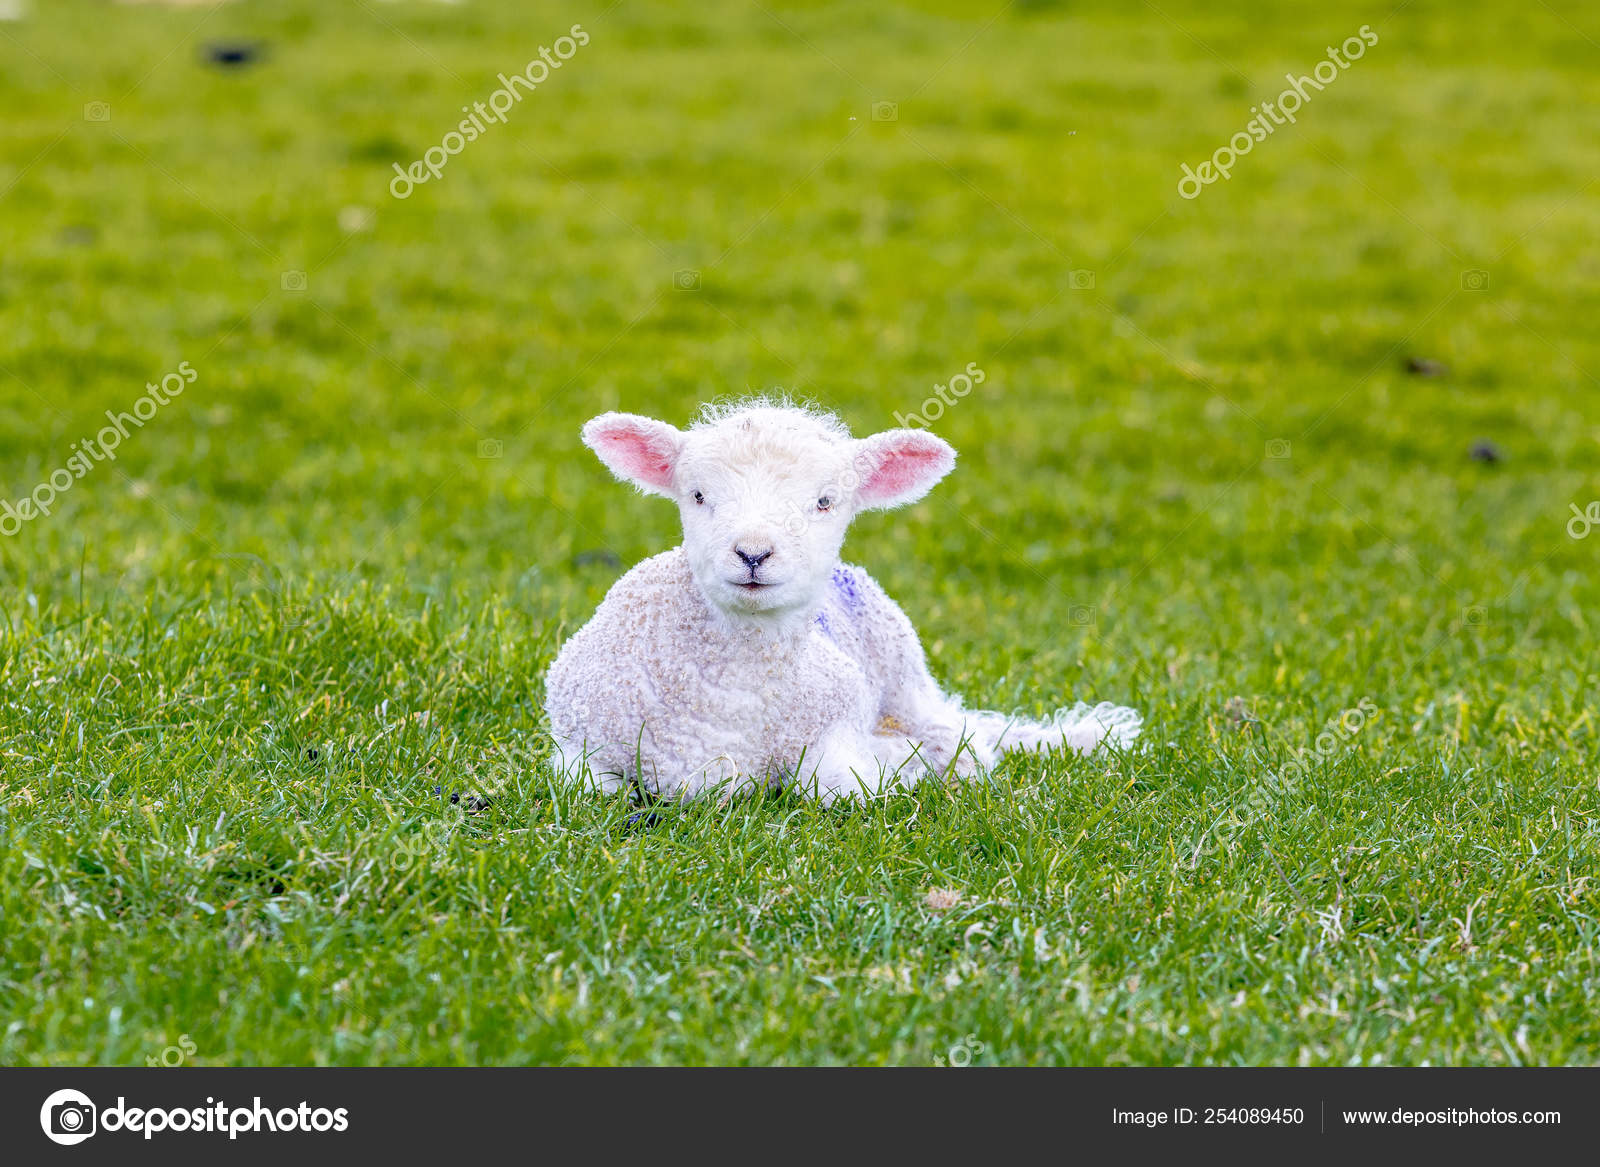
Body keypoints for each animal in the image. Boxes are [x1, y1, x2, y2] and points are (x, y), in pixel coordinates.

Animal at [544, 399, 1141, 803]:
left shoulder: (837, 723)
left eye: (825, 502)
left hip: (905, 677)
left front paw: (895, 765)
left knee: (963, 738)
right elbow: (590, 788)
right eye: (697, 496)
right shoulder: (577, 740)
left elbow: (839, 786)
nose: (753, 553)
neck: (734, 695)